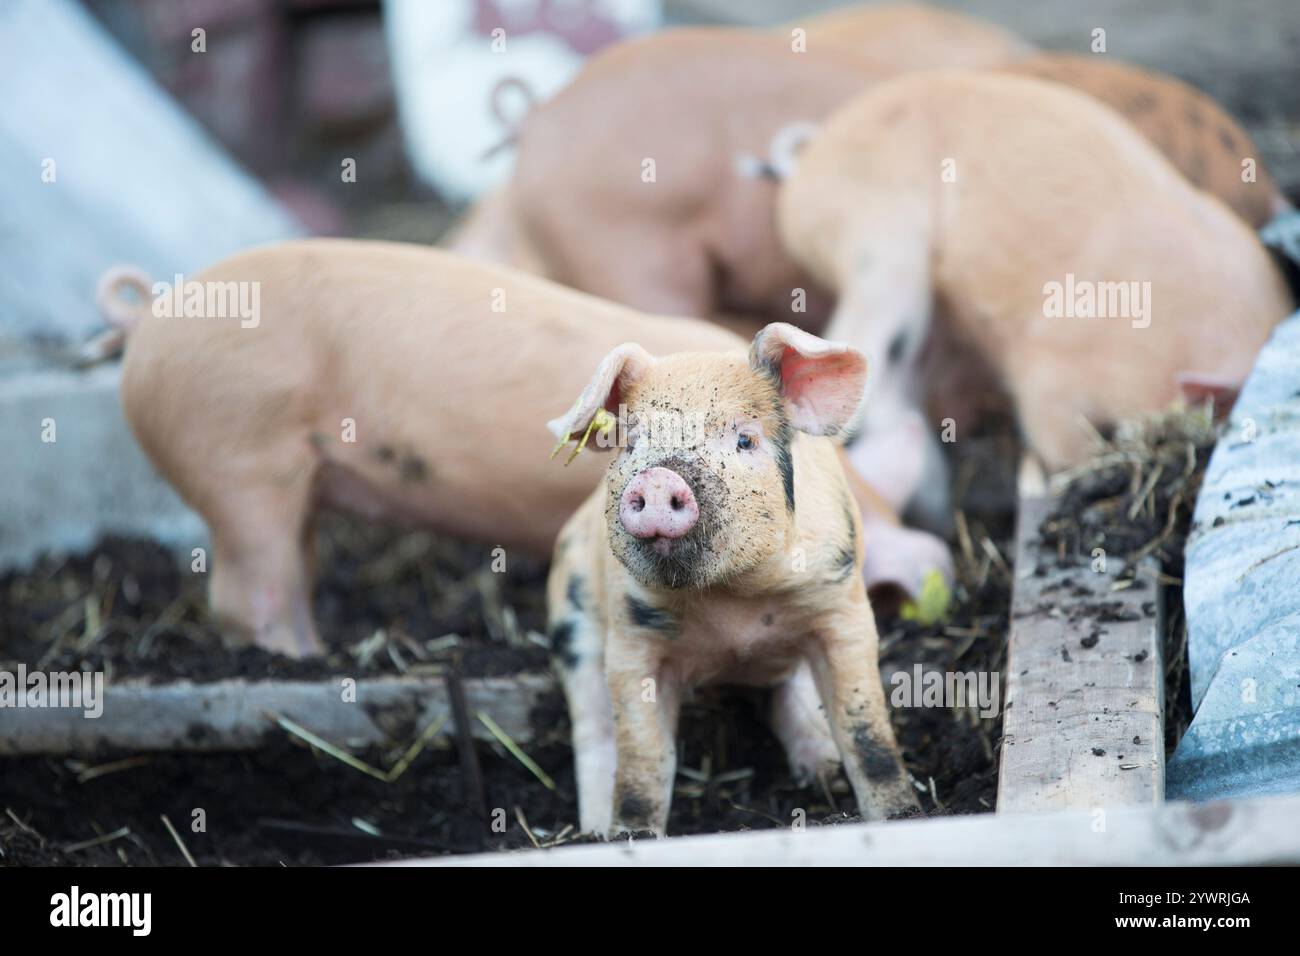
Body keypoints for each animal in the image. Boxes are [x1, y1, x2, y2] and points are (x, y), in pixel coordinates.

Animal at [545, 322, 919, 836]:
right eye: (632, 443)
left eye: (745, 440)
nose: (657, 479)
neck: (733, 601)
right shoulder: (632, 639)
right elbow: (643, 762)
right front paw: (631, 837)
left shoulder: (842, 606)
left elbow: (865, 734)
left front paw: (902, 816)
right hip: (572, 619)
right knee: (595, 731)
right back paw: (595, 831)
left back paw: (822, 772)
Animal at [776, 71, 1294, 510]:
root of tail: (806, 161)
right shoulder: (1052, 370)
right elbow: (1057, 434)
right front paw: (1085, 476)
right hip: (880, 245)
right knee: (862, 345)